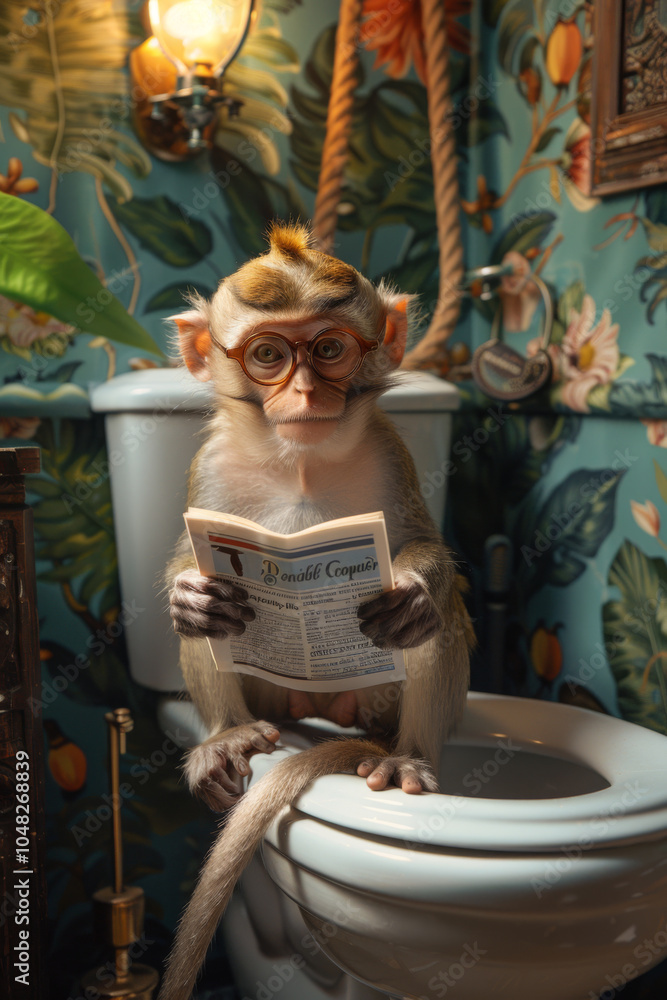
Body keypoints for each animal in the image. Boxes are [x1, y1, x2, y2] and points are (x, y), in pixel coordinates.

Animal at [159, 222, 473, 1000]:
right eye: (269, 354)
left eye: (328, 349)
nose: (303, 391)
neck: (298, 458)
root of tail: (324, 713)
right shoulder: (208, 464)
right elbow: (188, 562)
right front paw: (190, 594)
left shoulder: (391, 449)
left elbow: (425, 549)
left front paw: (413, 590)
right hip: (274, 699)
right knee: (218, 633)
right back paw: (226, 737)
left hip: (376, 701)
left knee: (434, 628)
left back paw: (407, 757)